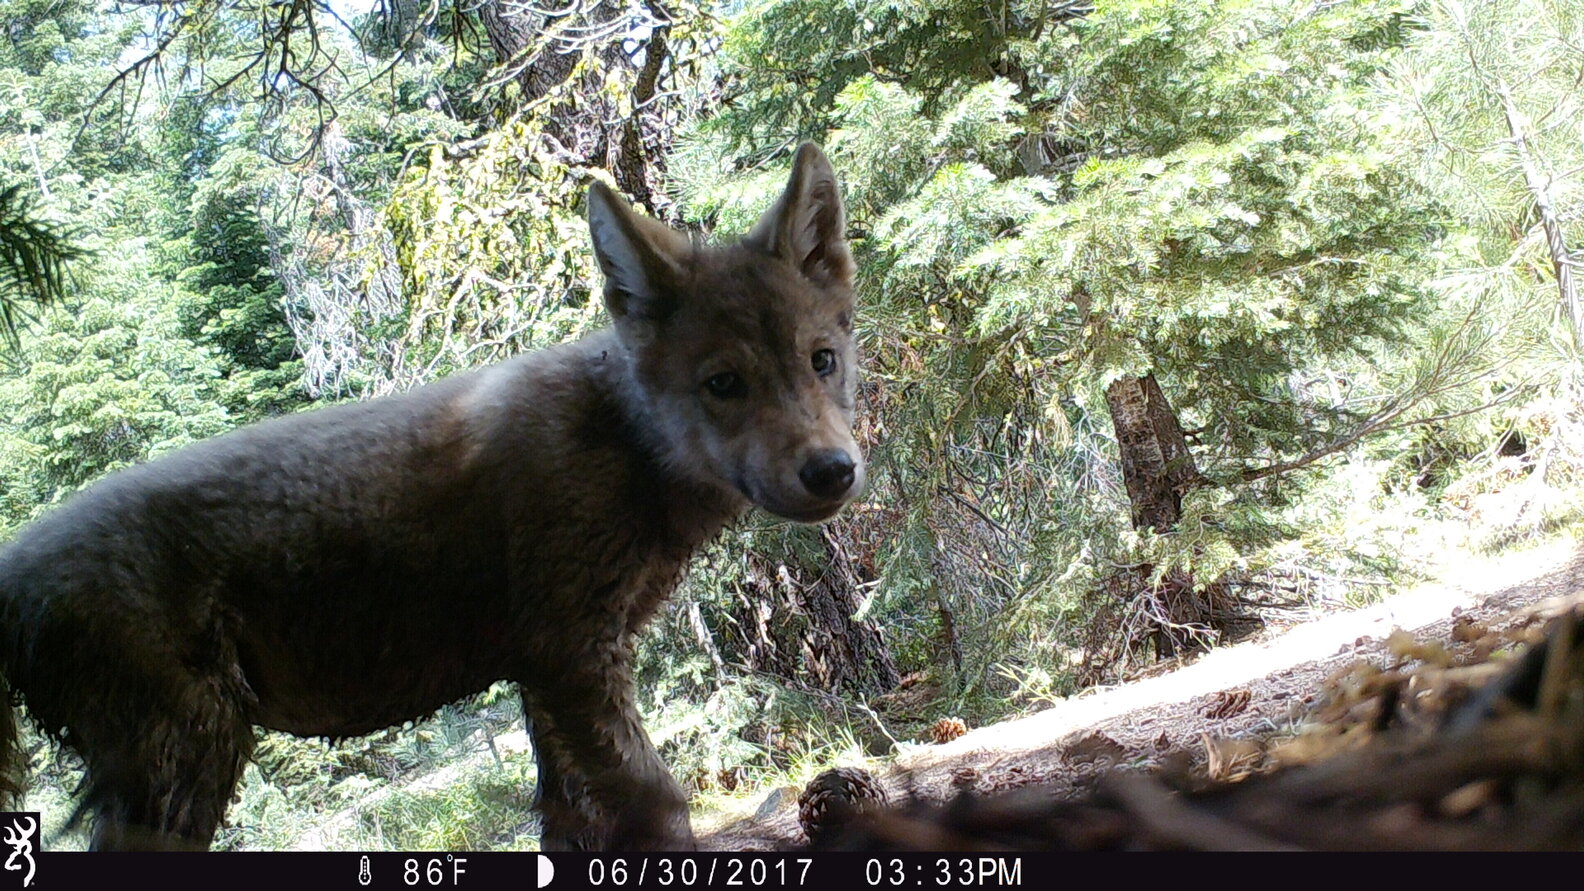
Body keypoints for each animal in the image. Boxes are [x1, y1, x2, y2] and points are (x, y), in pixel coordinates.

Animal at [0, 143, 863, 851]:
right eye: (724, 383)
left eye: (821, 361)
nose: (833, 470)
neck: (622, 446)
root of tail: (12, 573)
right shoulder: (573, 655)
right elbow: (659, 803)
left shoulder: (549, 676)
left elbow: (571, 824)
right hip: (194, 754)